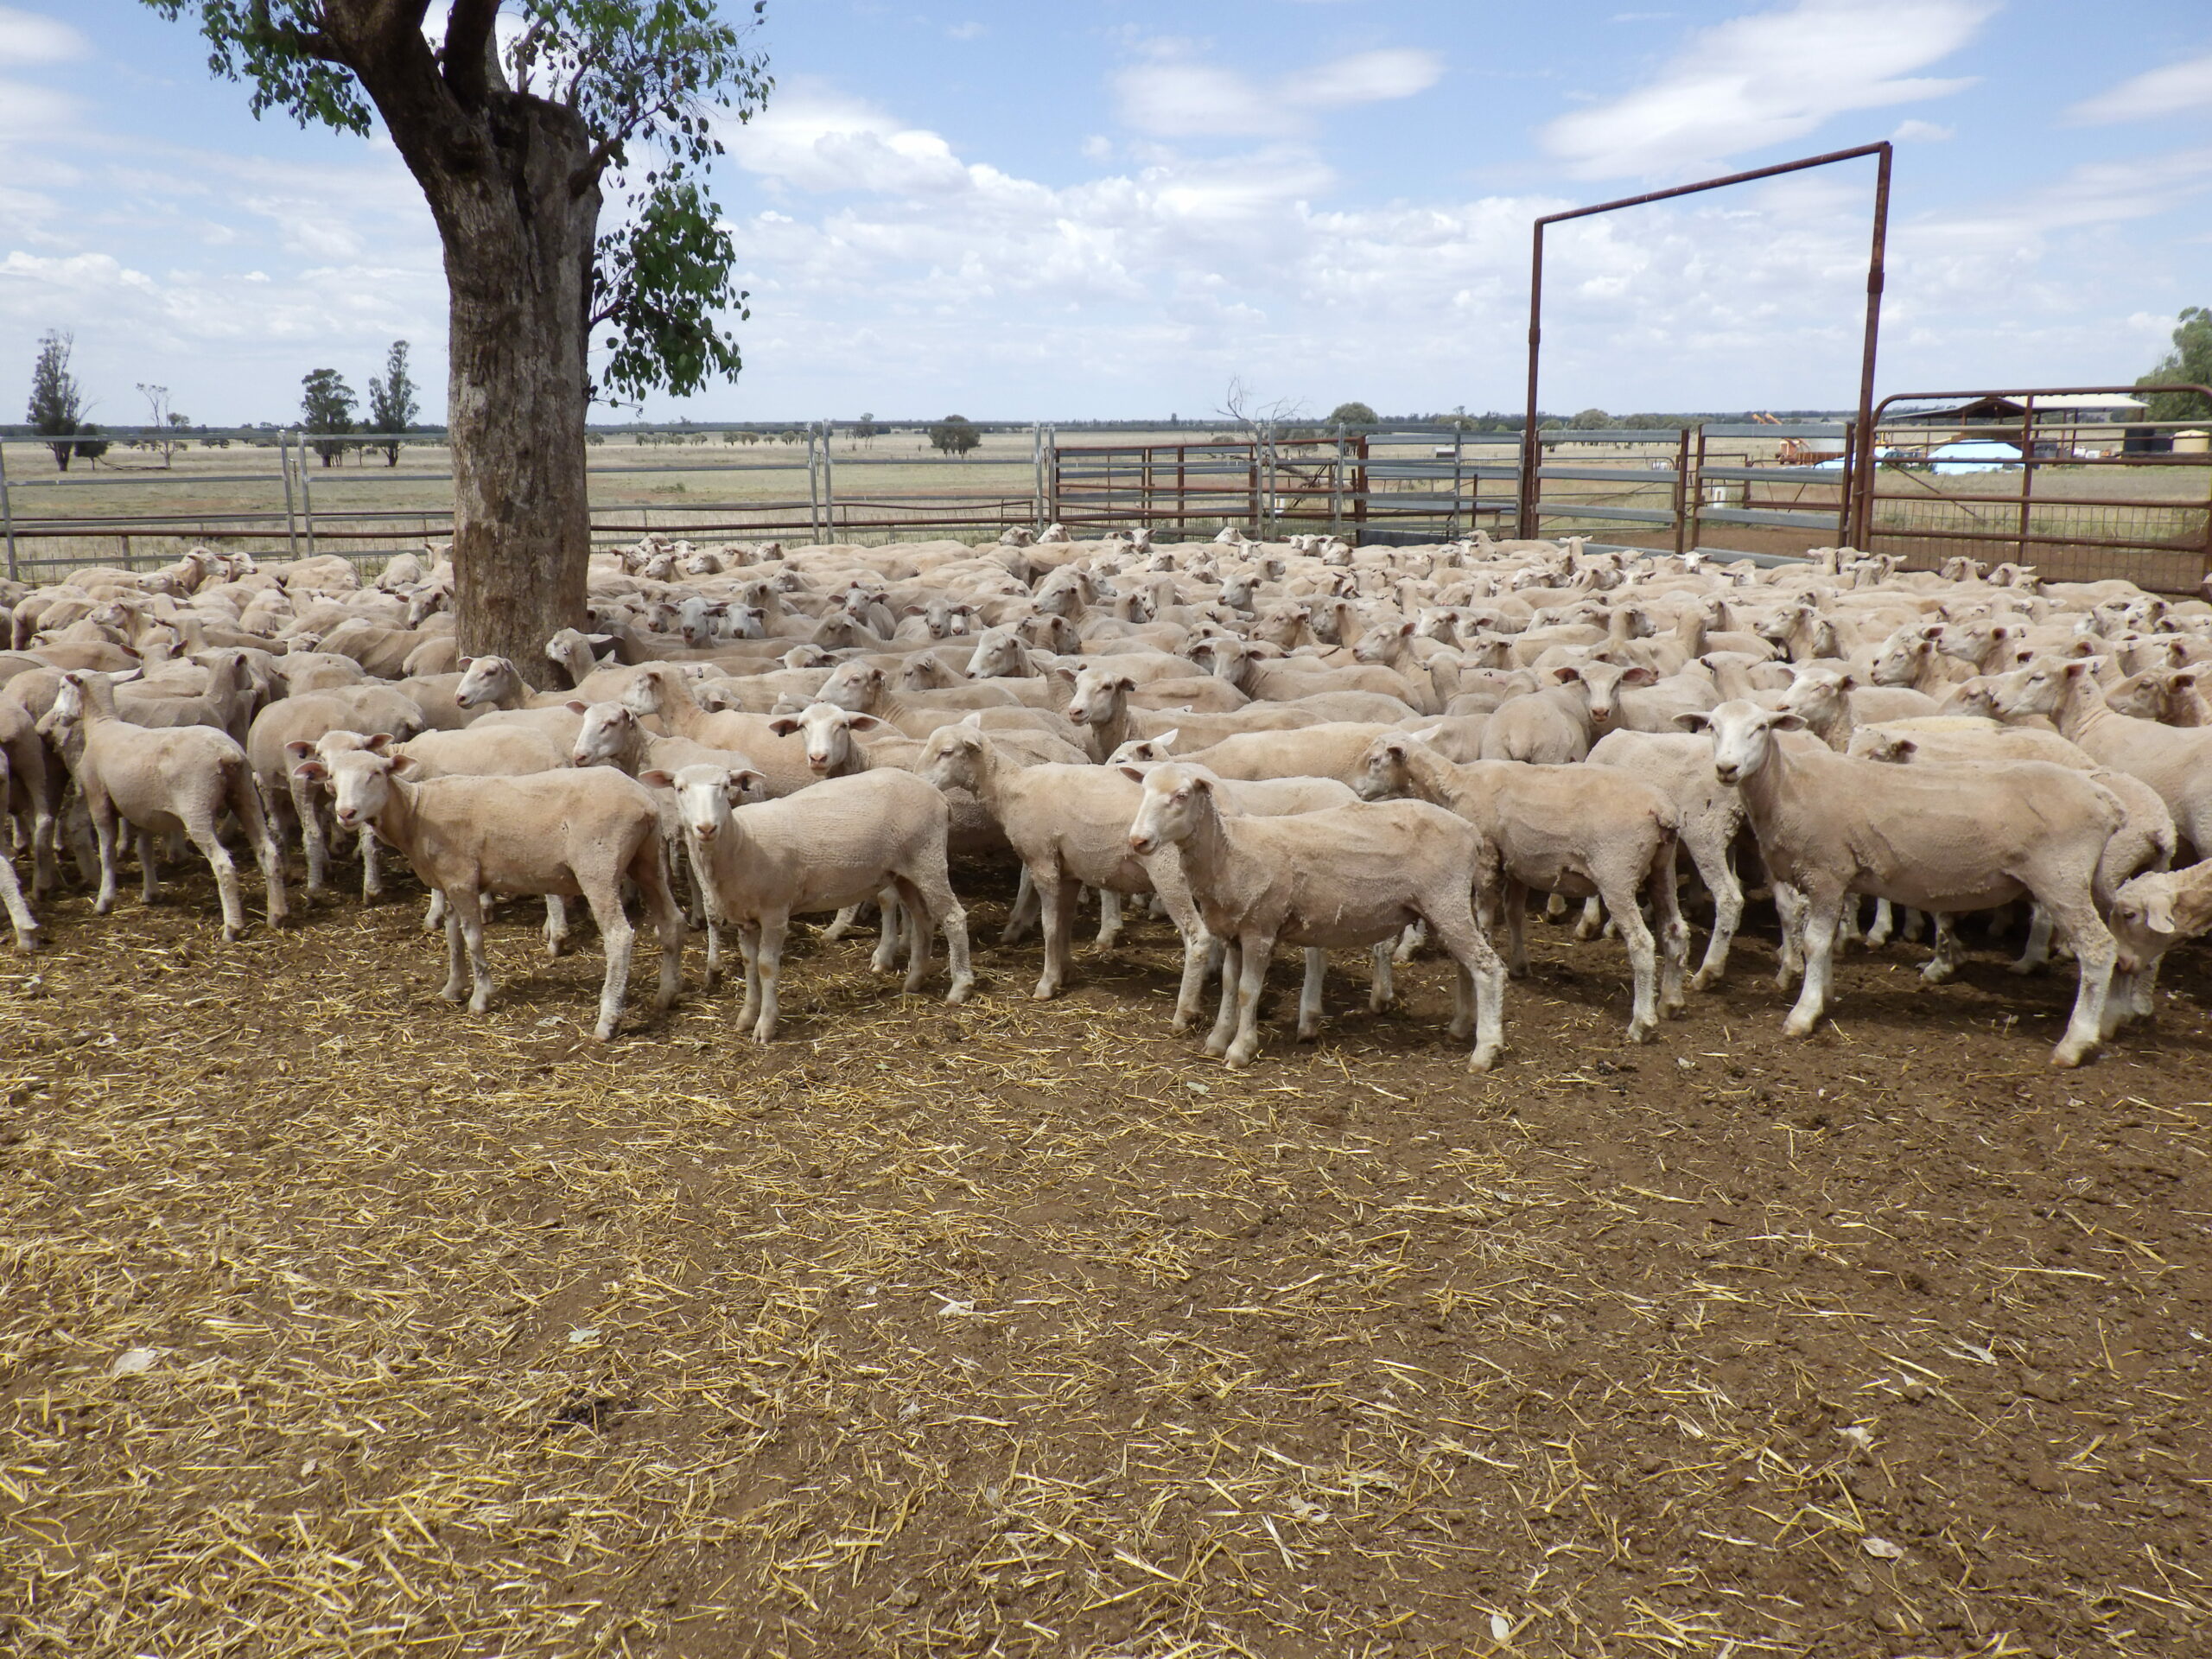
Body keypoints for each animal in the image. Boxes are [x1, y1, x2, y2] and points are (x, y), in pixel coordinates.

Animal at [1123, 762, 1508, 1069]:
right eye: (1143, 790)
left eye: (1182, 795)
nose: (1138, 840)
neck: (1231, 853)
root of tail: (1471, 831)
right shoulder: (1233, 933)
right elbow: (1230, 987)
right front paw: (1216, 1041)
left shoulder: (1260, 930)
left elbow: (1248, 991)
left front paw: (1240, 1049)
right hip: (1443, 904)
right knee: (1465, 965)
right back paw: (1460, 1027)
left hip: (1445, 897)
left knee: (1487, 966)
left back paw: (1485, 1051)